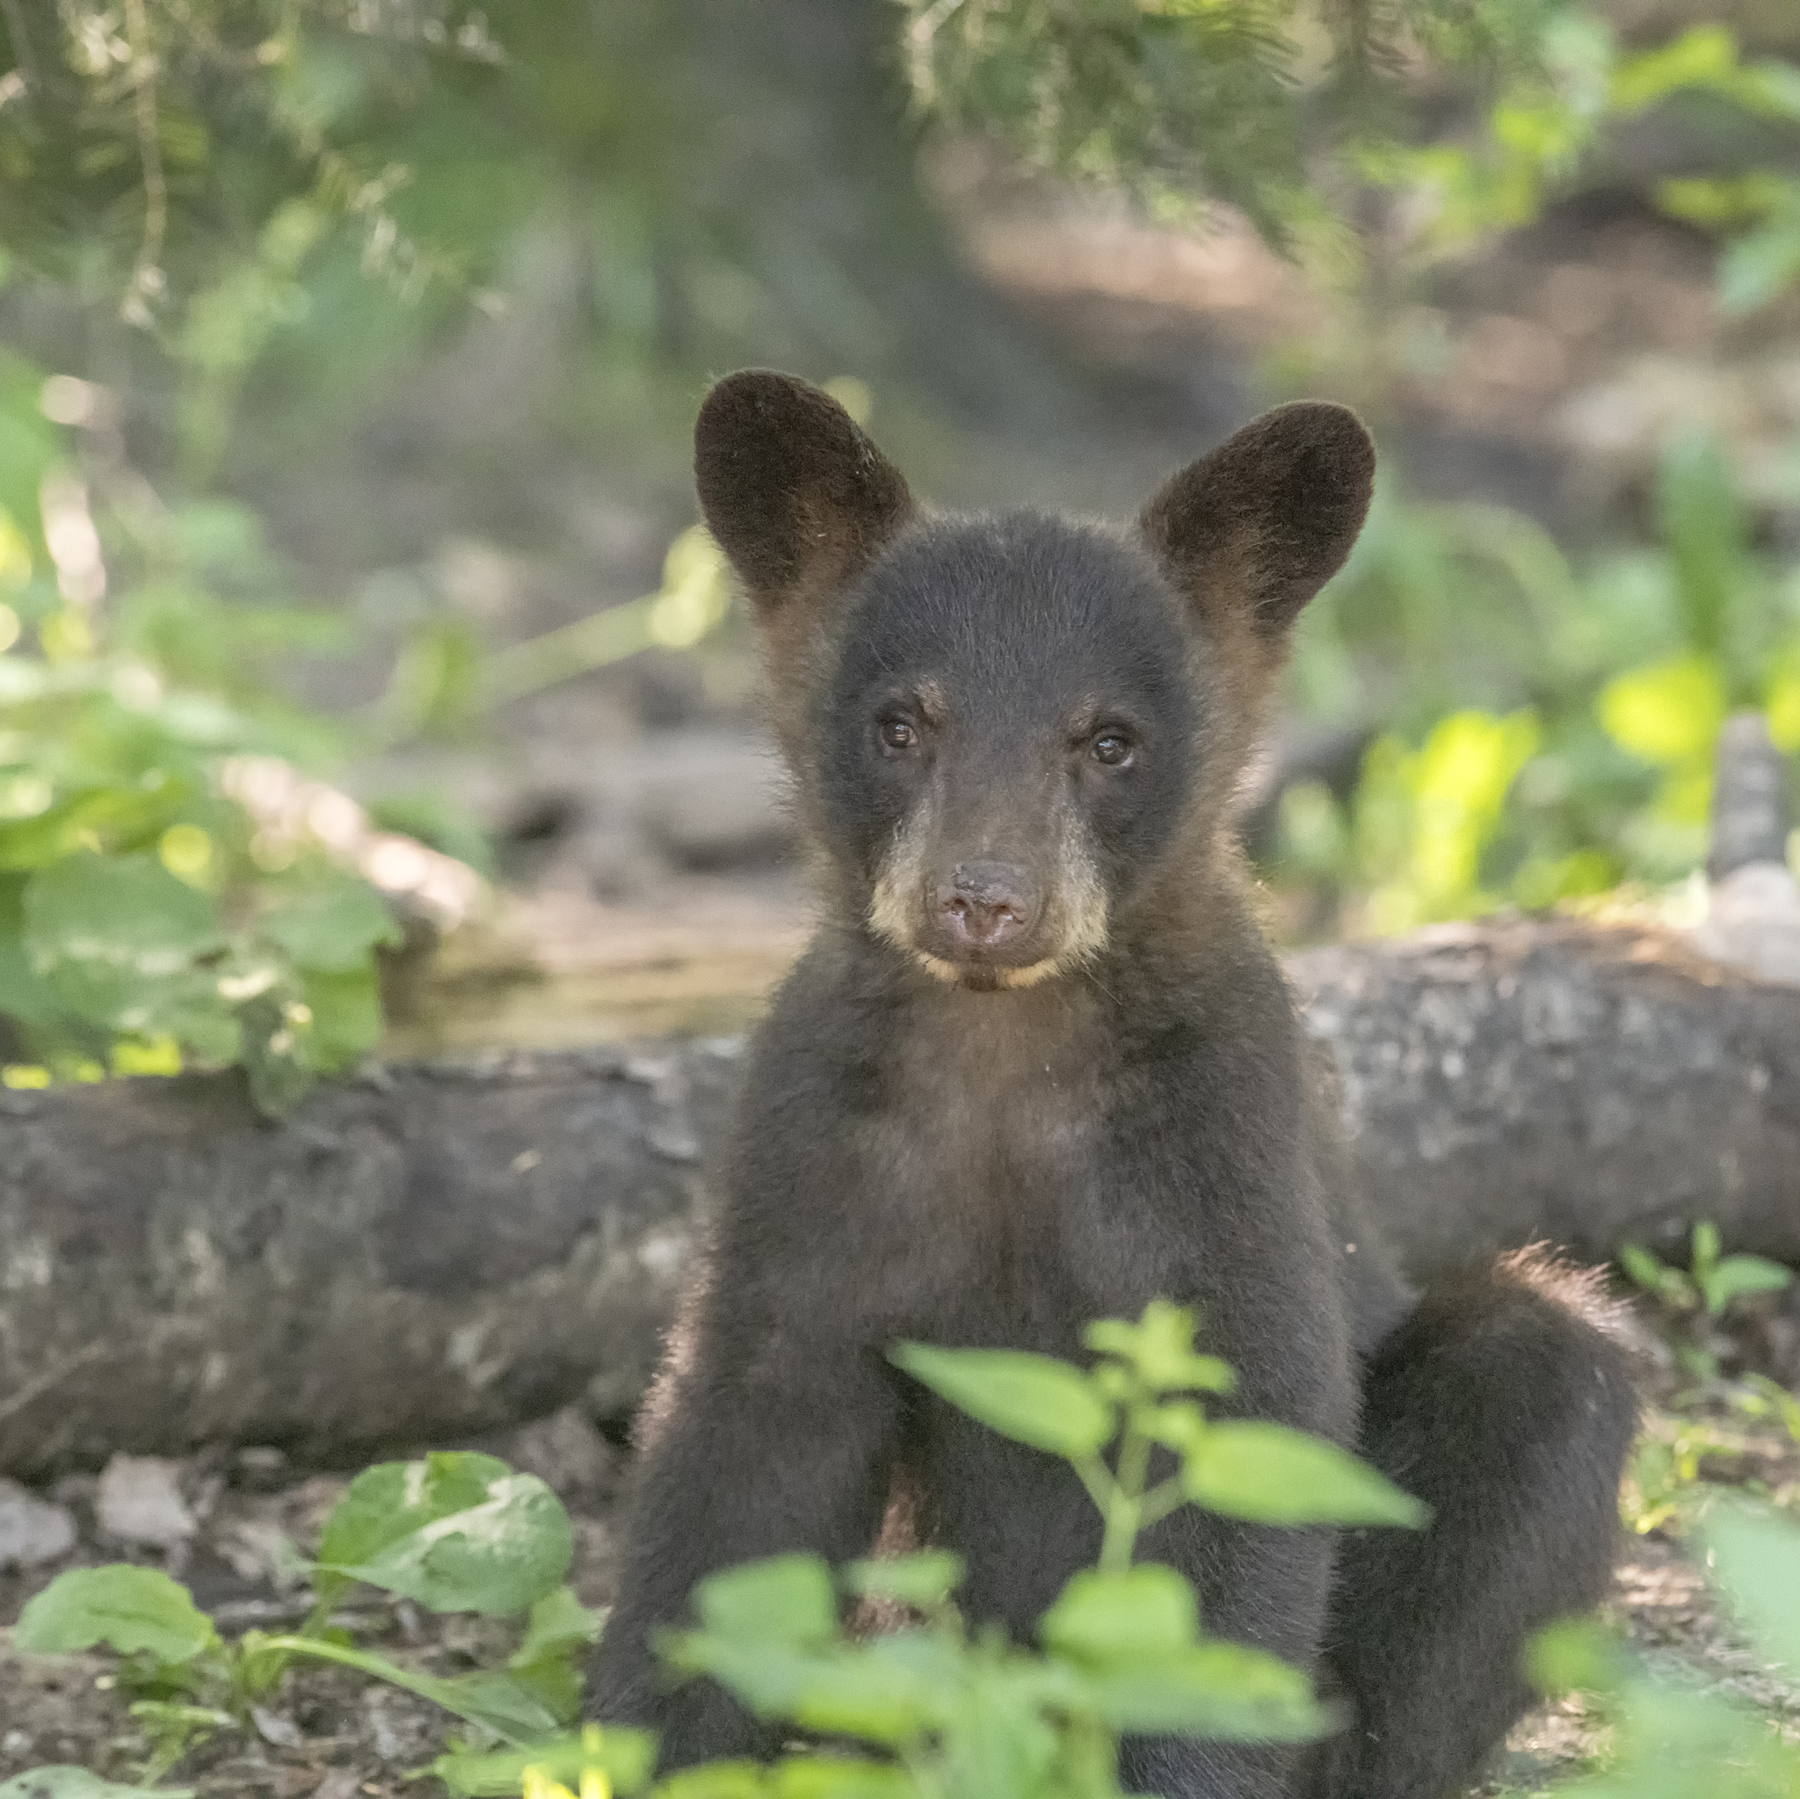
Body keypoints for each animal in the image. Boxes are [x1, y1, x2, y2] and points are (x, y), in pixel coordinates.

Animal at [587, 370, 1638, 1799]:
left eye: (1110, 740)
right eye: (901, 721)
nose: (985, 898)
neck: (1003, 1054)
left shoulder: (1216, 1138)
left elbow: (1239, 1478)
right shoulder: (814, 1143)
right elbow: (736, 1472)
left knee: (1540, 1379)